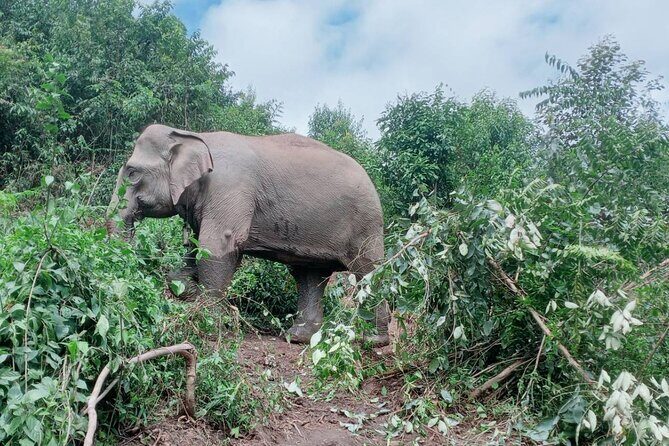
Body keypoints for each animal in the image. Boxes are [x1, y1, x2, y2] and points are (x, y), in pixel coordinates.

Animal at [107, 124, 389, 346]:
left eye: (132, 173)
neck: (194, 135)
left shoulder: (229, 189)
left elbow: (217, 245)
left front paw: (209, 321)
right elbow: (197, 247)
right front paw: (189, 288)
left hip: (365, 224)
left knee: (368, 270)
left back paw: (374, 340)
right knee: (309, 276)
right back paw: (298, 337)